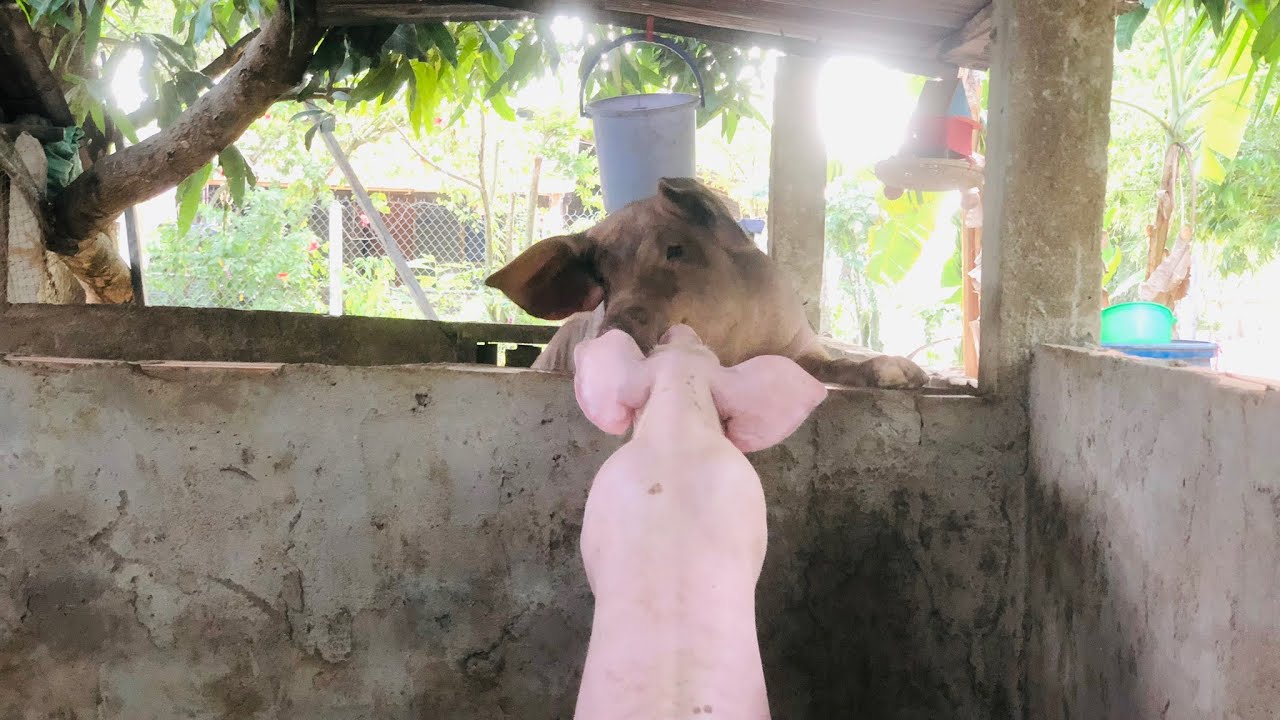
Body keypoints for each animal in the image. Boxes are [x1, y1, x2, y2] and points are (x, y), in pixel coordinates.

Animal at [485, 177, 928, 389]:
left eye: (675, 250)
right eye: (604, 279)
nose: (612, 332)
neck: (733, 349)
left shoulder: (796, 342)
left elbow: (828, 364)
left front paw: (908, 377)